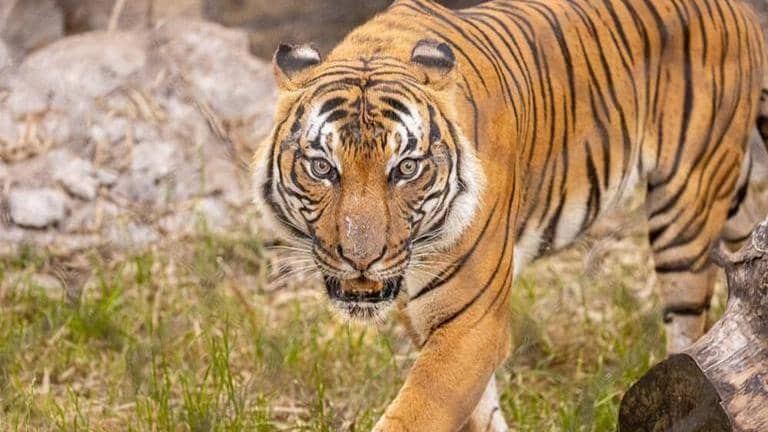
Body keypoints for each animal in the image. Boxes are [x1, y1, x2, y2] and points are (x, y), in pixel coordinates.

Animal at [252, 0, 768, 430]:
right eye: (323, 167)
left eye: (406, 168)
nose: (361, 259)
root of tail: (739, 10)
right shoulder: (430, 321)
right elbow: (481, 411)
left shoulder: (472, 322)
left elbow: (417, 412)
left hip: (685, 207)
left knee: (689, 326)